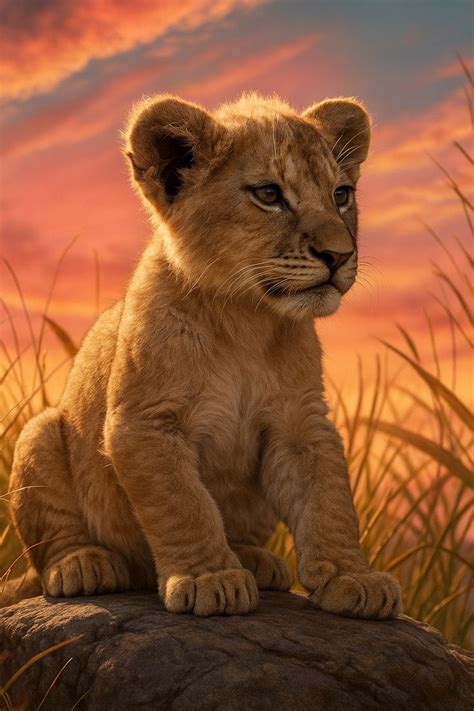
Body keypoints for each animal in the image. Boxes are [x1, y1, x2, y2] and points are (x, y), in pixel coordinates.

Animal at [6, 92, 402, 618]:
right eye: (269, 194)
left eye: (341, 194)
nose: (339, 255)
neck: (245, 320)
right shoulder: (146, 423)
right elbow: (184, 505)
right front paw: (210, 577)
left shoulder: (302, 424)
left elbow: (329, 501)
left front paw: (353, 578)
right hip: (40, 433)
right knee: (53, 546)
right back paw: (85, 564)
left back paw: (256, 560)